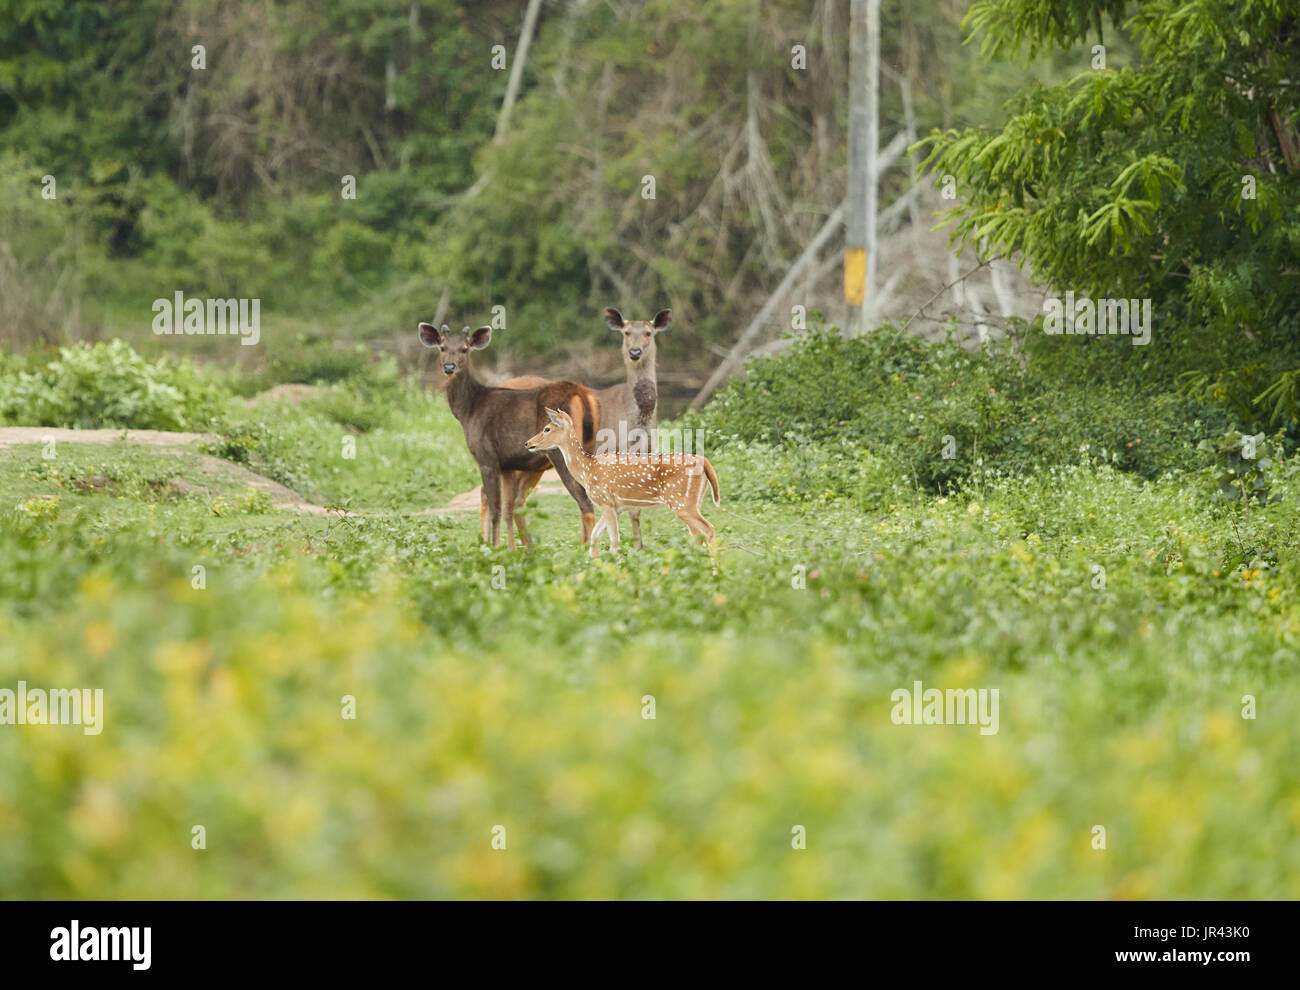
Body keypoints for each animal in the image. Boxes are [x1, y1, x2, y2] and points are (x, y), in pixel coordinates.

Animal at [418, 323, 598, 548]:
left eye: (465, 349)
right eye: (442, 347)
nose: (449, 367)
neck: (468, 411)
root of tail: (582, 394)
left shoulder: (487, 458)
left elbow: (496, 508)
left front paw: (495, 548)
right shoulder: (507, 465)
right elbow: (507, 508)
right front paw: (509, 549)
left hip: (560, 452)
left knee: (585, 503)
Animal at [488, 308, 670, 548]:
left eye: (649, 332)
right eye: (626, 332)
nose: (635, 352)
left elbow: (634, 508)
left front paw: (638, 546)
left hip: (533, 463)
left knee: (515, 499)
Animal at [524, 406, 719, 564]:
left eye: (547, 428)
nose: (527, 443)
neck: (587, 470)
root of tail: (704, 461)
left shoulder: (604, 501)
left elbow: (614, 542)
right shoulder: (615, 506)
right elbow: (595, 535)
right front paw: (593, 566)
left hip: (681, 502)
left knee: (708, 529)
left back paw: (715, 571)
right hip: (693, 501)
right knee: (697, 535)